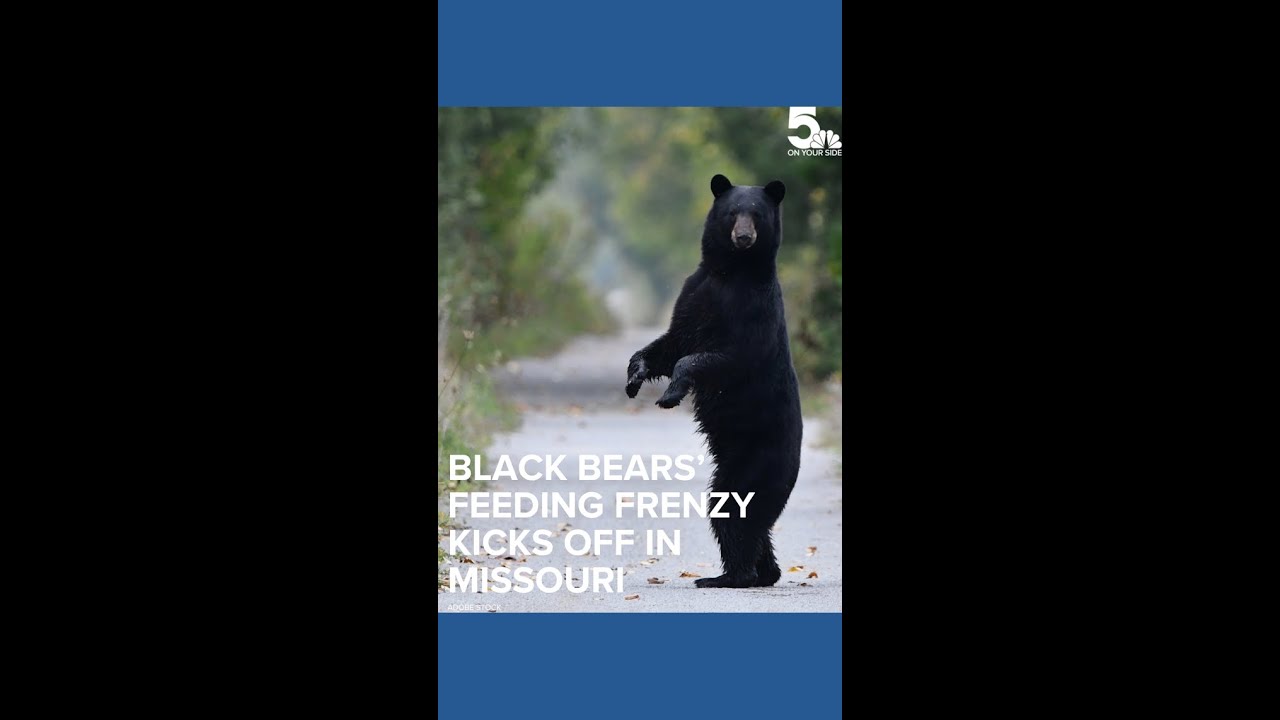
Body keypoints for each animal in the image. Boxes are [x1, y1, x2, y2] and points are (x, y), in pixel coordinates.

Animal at [625, 173, 803, 589]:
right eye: (732, 212)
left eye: (756, 214)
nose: (744, 236)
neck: (731, 272)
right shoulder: (694, 292)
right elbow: (671, 343)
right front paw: (635, 375)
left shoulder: (753, 311)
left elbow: (718, 356)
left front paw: (670, 394)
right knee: (742, 519)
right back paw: (763, 572)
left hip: (756, 464)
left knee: (737, 514)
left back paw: (729, 576)